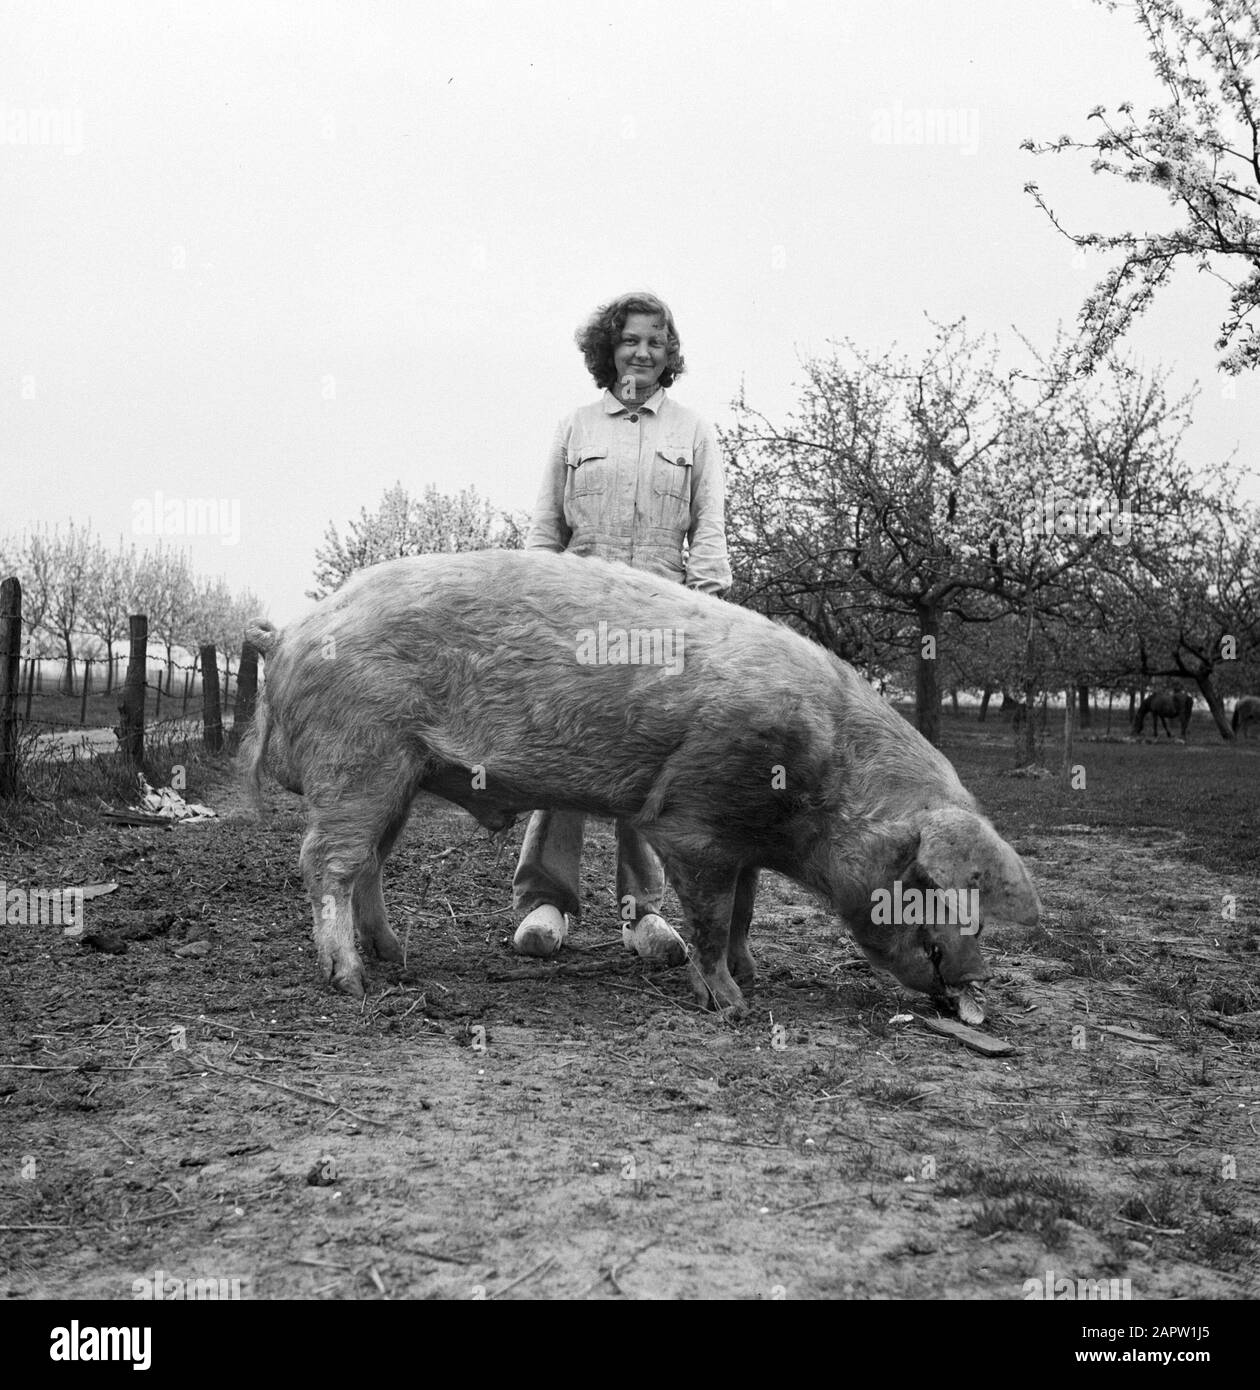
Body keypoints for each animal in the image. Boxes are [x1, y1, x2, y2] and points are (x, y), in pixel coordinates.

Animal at [242, 549, 1039, 1020]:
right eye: (929, 883)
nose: (974, 980)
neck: (822, 783)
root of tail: (288, 634)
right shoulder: (695, 821)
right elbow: (711, 916)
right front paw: (730, 1004)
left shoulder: (744, 842)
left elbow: (745, 911)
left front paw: (753, 976)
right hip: (358, 757)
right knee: (328, 863)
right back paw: (351, 983)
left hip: (401, 775)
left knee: (370, 863)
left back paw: (399, 957)